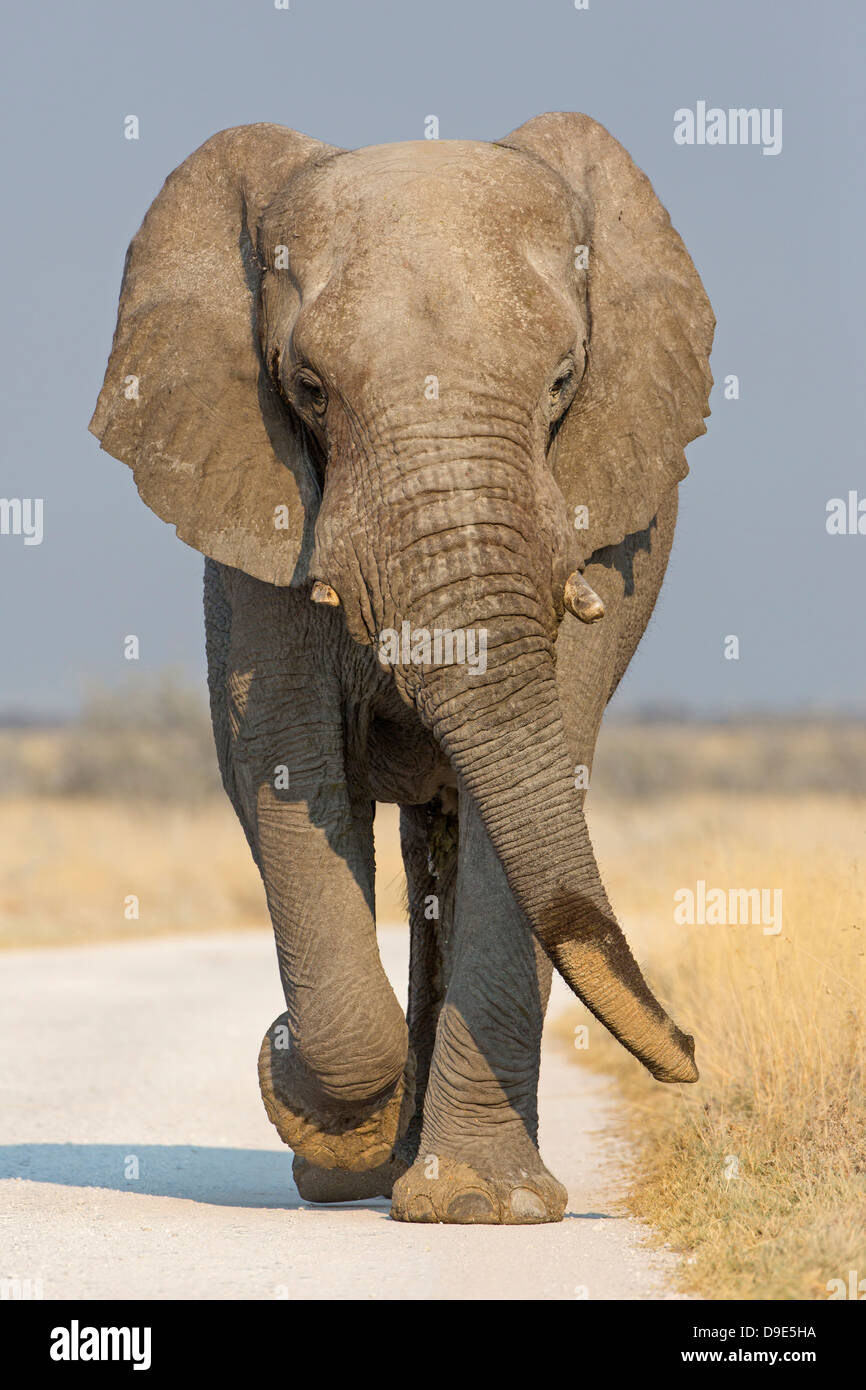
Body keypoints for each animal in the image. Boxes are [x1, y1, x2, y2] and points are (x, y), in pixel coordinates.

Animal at [90, 113, 714, 1225]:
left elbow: (532, 779)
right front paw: (306, 1093)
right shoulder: (262, 506)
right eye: (308, 390)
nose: (690, 1051)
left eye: (562, 382)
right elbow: (286, 766)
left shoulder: (605, 521)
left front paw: (481, 1209)